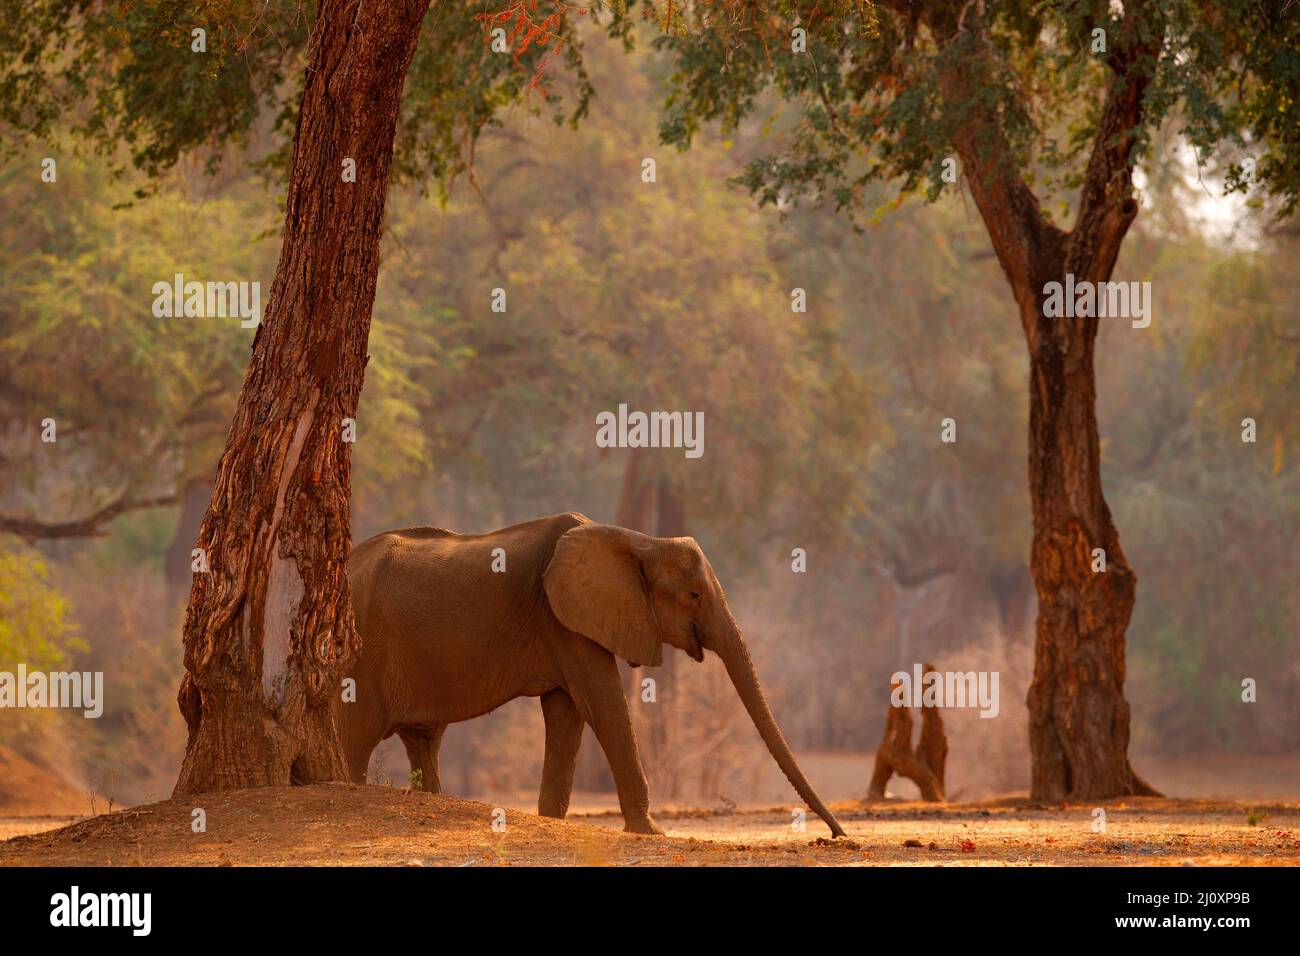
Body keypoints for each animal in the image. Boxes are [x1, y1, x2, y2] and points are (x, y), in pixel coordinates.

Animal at [341, 511, 846, 837]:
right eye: (696, 596)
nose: (837, 835)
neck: (637, 540)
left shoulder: (567, 621)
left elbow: (567, 713)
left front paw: (550, 821)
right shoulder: (562, 618)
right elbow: (602, 702)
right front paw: (651, 832)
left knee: (424, 741)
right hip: (363, 657)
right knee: (357, 739)